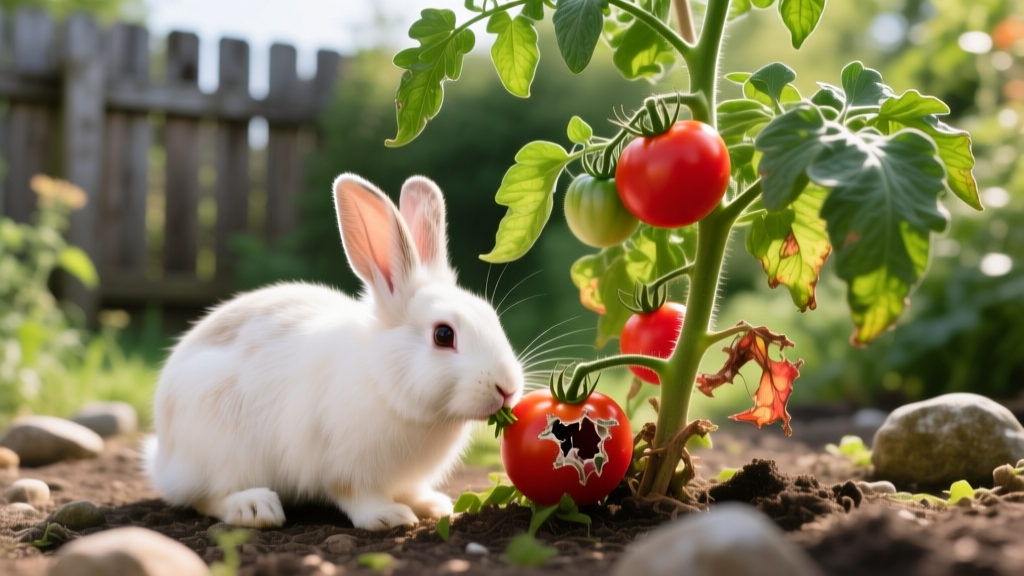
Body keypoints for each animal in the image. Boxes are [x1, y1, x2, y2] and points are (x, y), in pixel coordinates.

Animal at [145, 174, 524, 530]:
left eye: (492, 317)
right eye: (443, 335)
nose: (507, 388)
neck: (383, 381)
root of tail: (164, 459)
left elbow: (411, 492)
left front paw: (432, 505)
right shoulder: (344, 466)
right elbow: (355, 494)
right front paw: (389, 517)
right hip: (220, 449)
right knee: (204, 497)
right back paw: (254, 507)